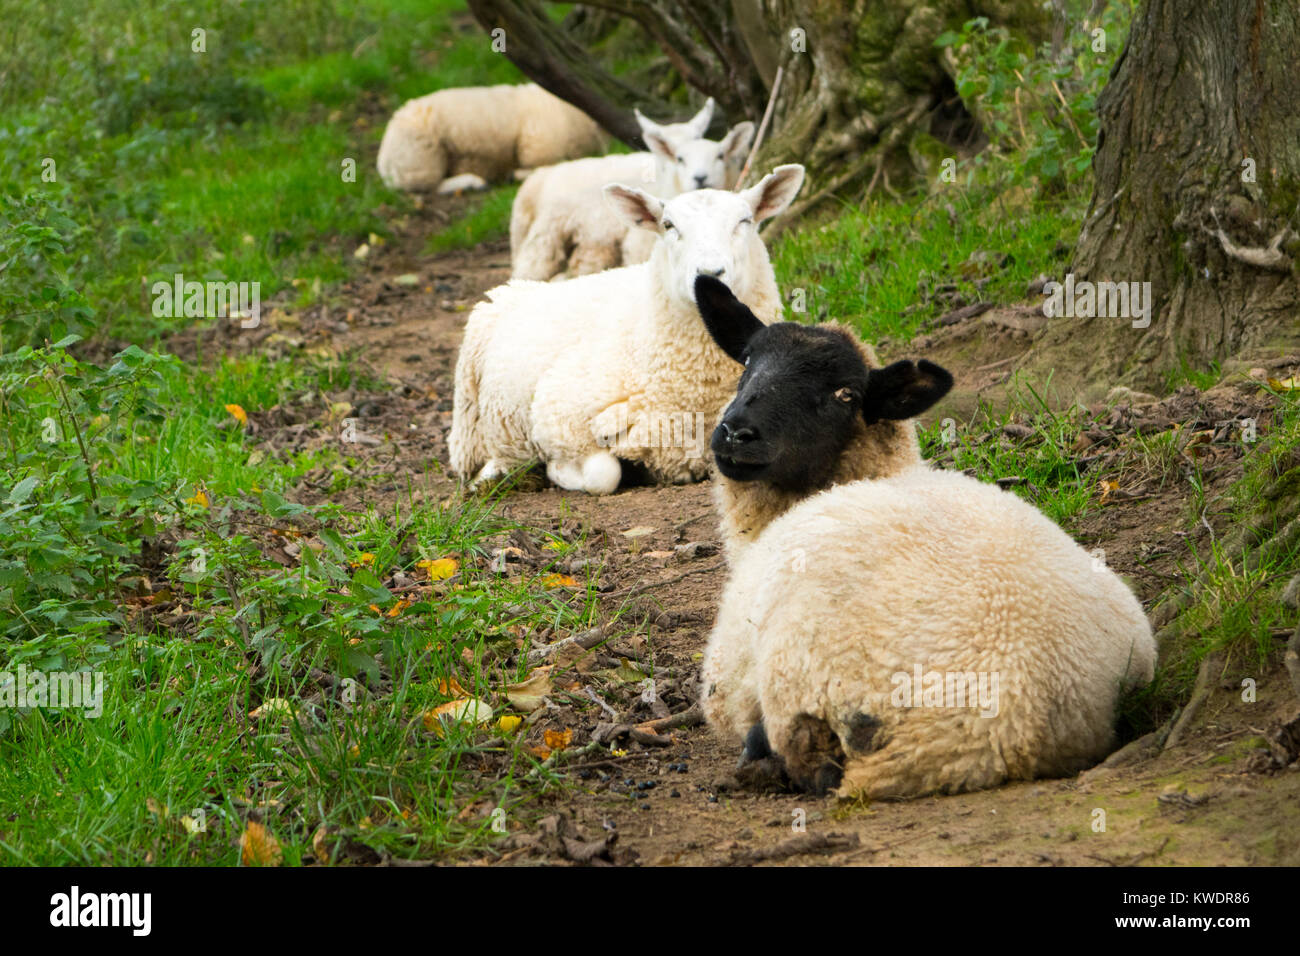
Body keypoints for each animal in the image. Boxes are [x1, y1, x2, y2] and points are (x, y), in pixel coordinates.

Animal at [376, 83, 606, 193]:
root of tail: (383, 163)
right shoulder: (539, 142)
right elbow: (546, 165)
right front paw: (515, 175)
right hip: (423, 155)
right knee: (424, 186)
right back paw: (472, 183)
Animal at [448, 165, 805, 496]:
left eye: (745, 221)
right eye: (668, 225)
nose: (709, 273)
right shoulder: (556, 413)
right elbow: (603, 474)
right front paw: (556, 470)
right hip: (469, 423)